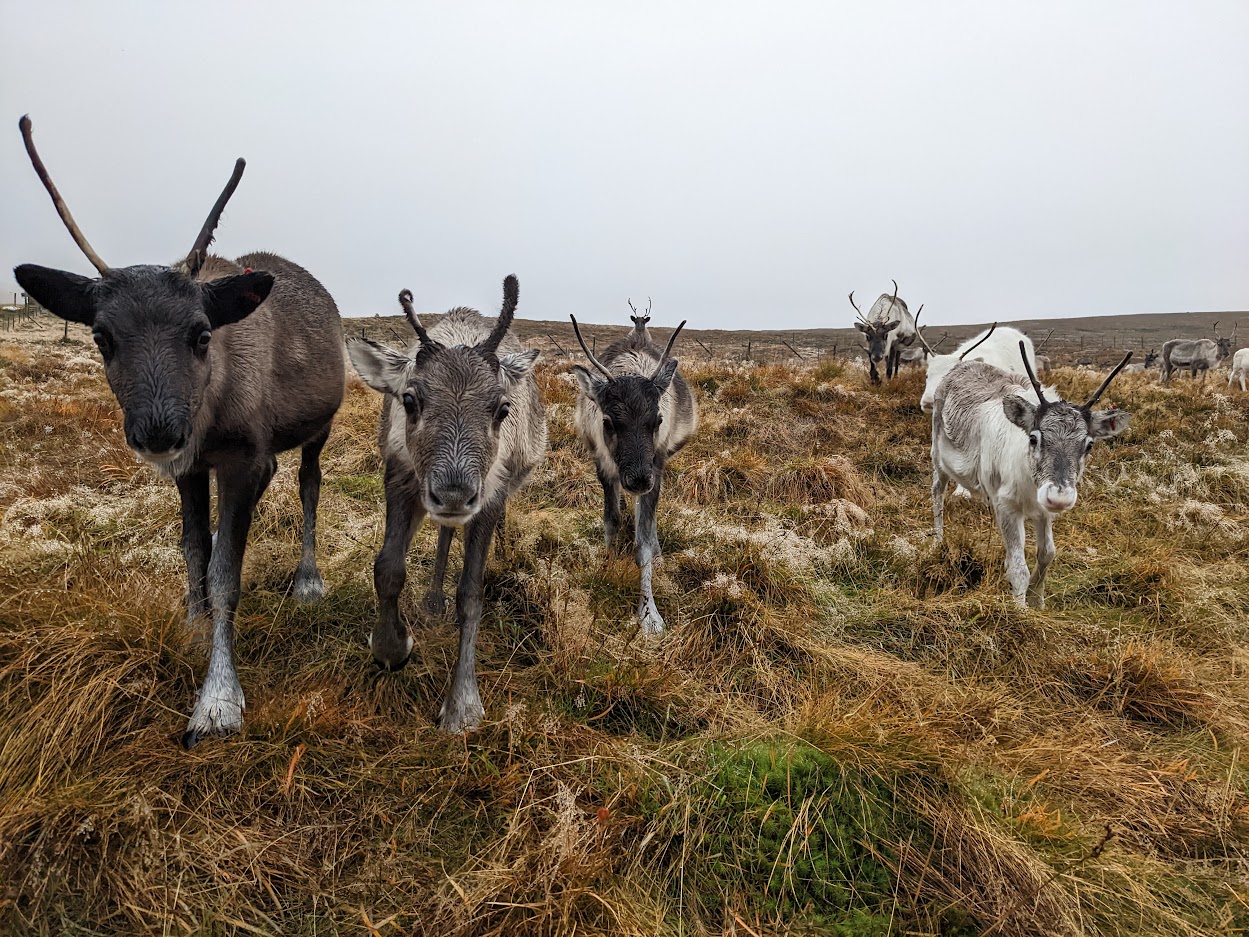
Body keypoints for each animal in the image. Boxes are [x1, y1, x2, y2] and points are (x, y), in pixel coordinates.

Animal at [12, 116, 345, 747]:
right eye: (101, 337)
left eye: (200, 333)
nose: (159, 431)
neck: (209, 413)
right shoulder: (193, 467)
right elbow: (194, 552)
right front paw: (193, 630)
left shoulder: (244, 459)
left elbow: (225, 573)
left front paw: (218, 698)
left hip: (320, 428)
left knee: (311, 485)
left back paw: (308, 579)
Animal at [346, 278, 546, 732]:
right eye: (409, 400)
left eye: (502, 408)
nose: (453, 493)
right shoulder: (402, 477)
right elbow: (388, 568)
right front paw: (391, 646)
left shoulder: (487, 498)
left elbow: (471, 595)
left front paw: (462, 705)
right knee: (443, 533)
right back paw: (433, 600)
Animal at [569, 312, 697, 636]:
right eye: (608, 421)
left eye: (658, 419)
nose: (638, 479)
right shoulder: (603, 466)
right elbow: (611, 521)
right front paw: (606, 568)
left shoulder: (656, 467)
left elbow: (643, 542)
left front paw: (649, 613)